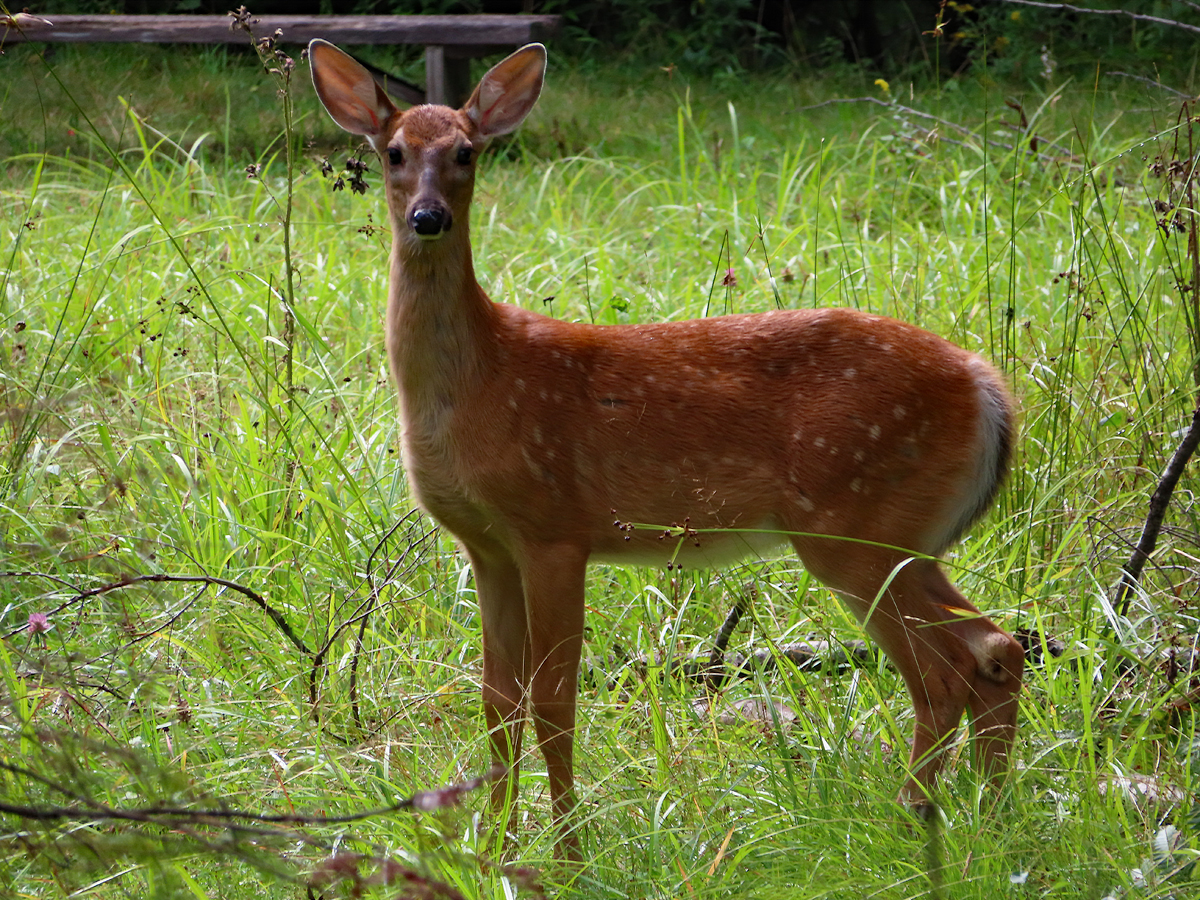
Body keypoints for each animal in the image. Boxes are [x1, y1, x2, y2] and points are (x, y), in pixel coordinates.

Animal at [308, 39, 1024, 857]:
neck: (478, 383)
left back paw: (914, 815)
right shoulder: (486, 546)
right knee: (996, 647)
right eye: (393, 152)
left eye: (466, 152)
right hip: (907, 534)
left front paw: (567, 851)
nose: (429, 217)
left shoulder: (555, 529)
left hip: (855, 529)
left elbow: (552, 700)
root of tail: (987, 387)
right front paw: (492, 848)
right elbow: (497, 699)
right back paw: (989, 810)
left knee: (944, 670)